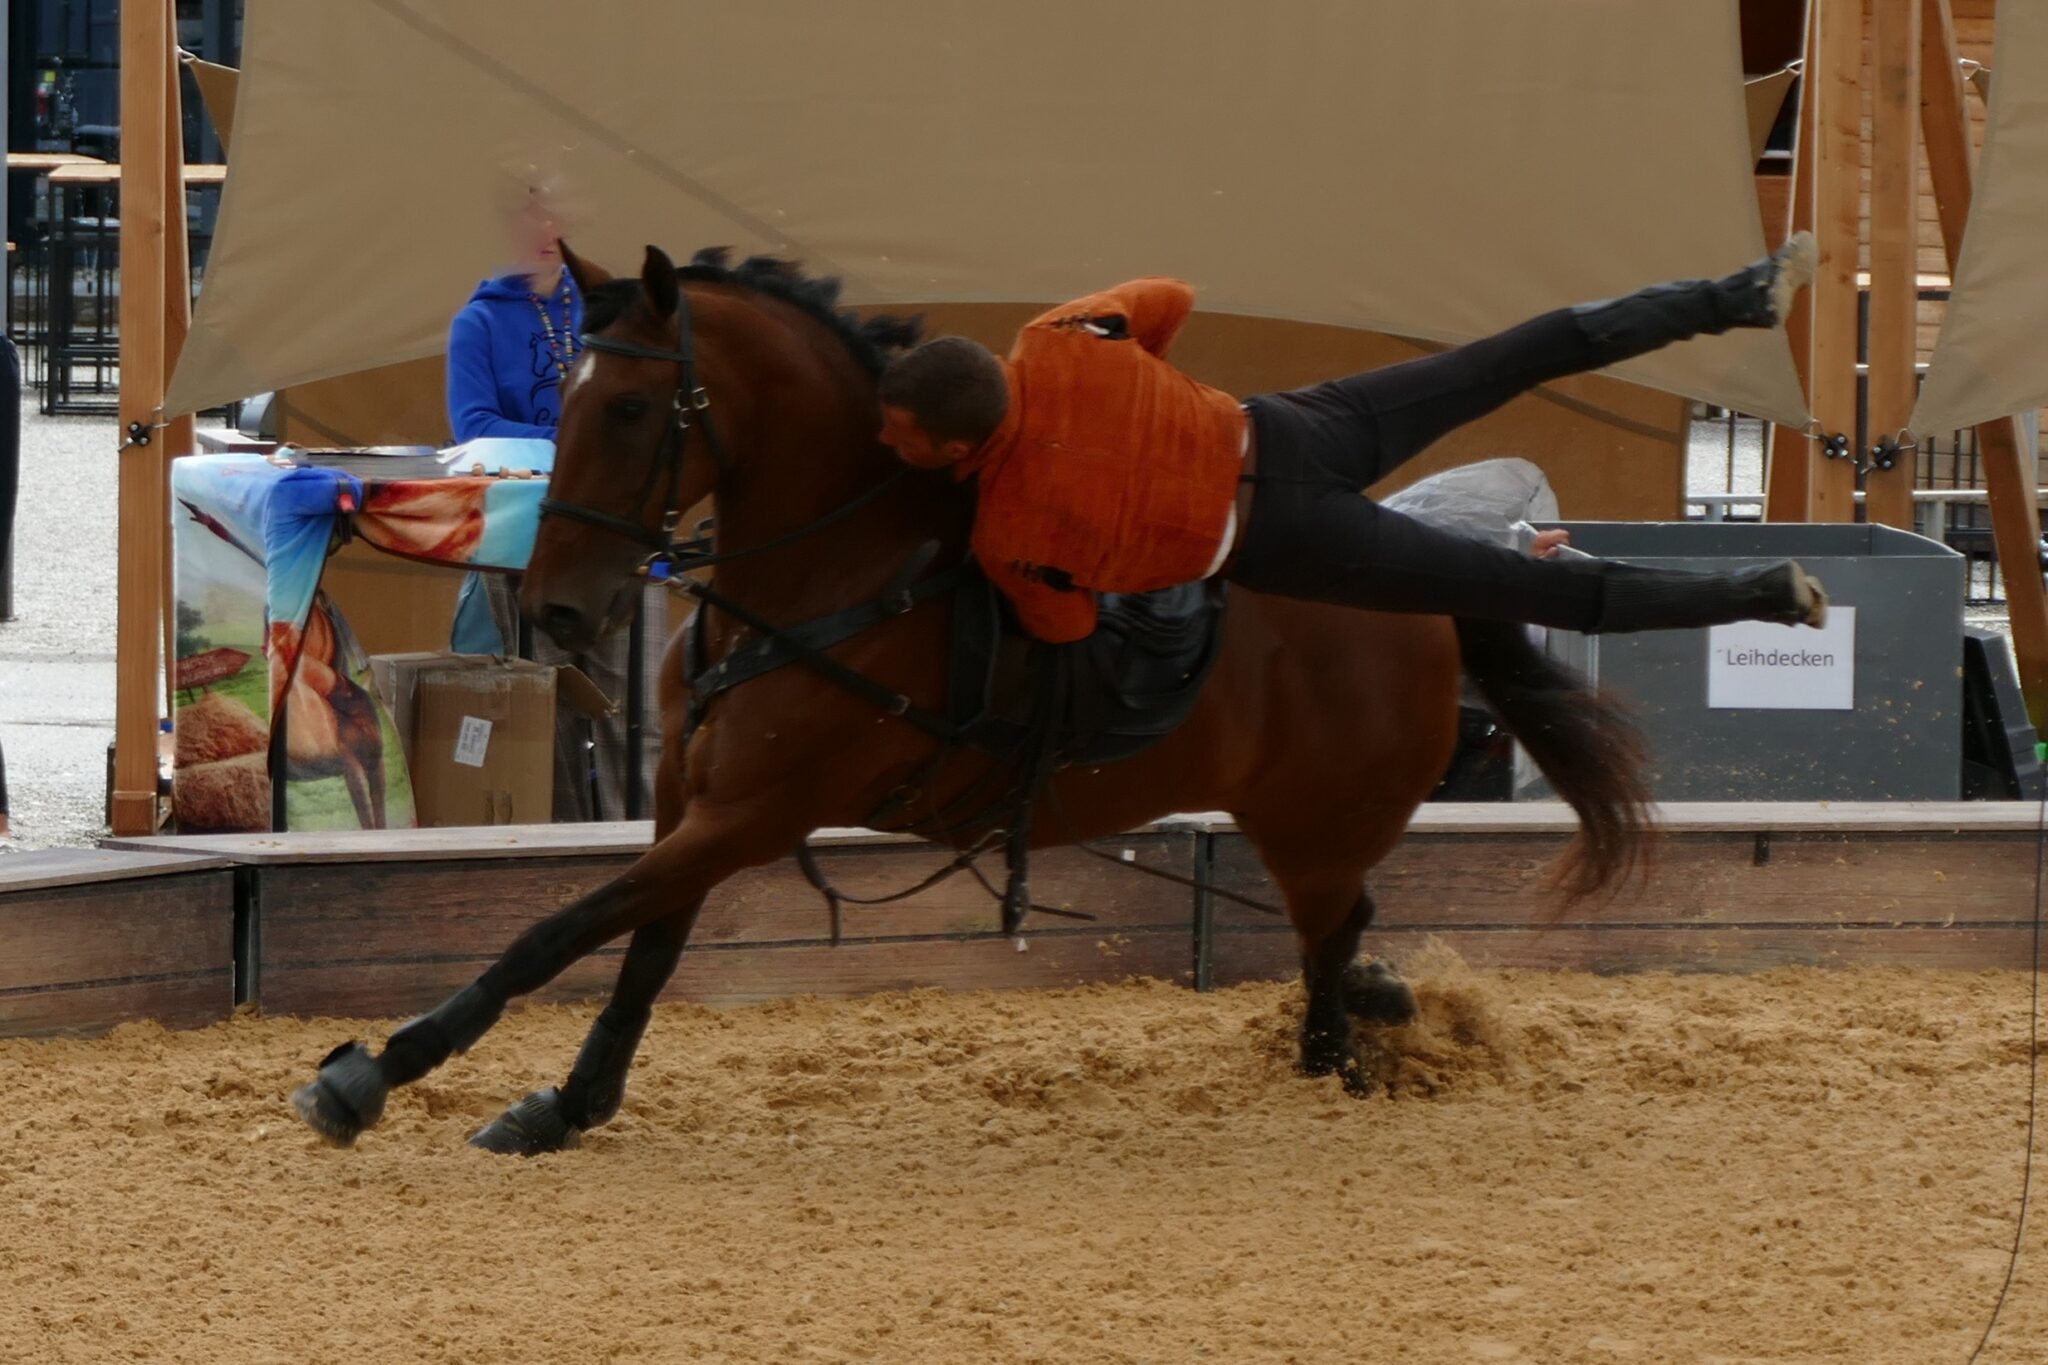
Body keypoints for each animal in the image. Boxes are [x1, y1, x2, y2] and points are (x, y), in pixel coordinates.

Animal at [291, 244, 1651, 1154]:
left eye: (627, 406)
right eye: (563, 400)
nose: (564, 610)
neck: (836, 568)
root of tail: (1423, 603)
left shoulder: (753, 816)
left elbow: (556, 931)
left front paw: (377, 1074)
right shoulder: (691, 804)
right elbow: (639, 954)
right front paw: (570, 1104)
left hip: (1316, 817)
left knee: (1334, 930)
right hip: (1315, 783)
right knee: (1345, 933)